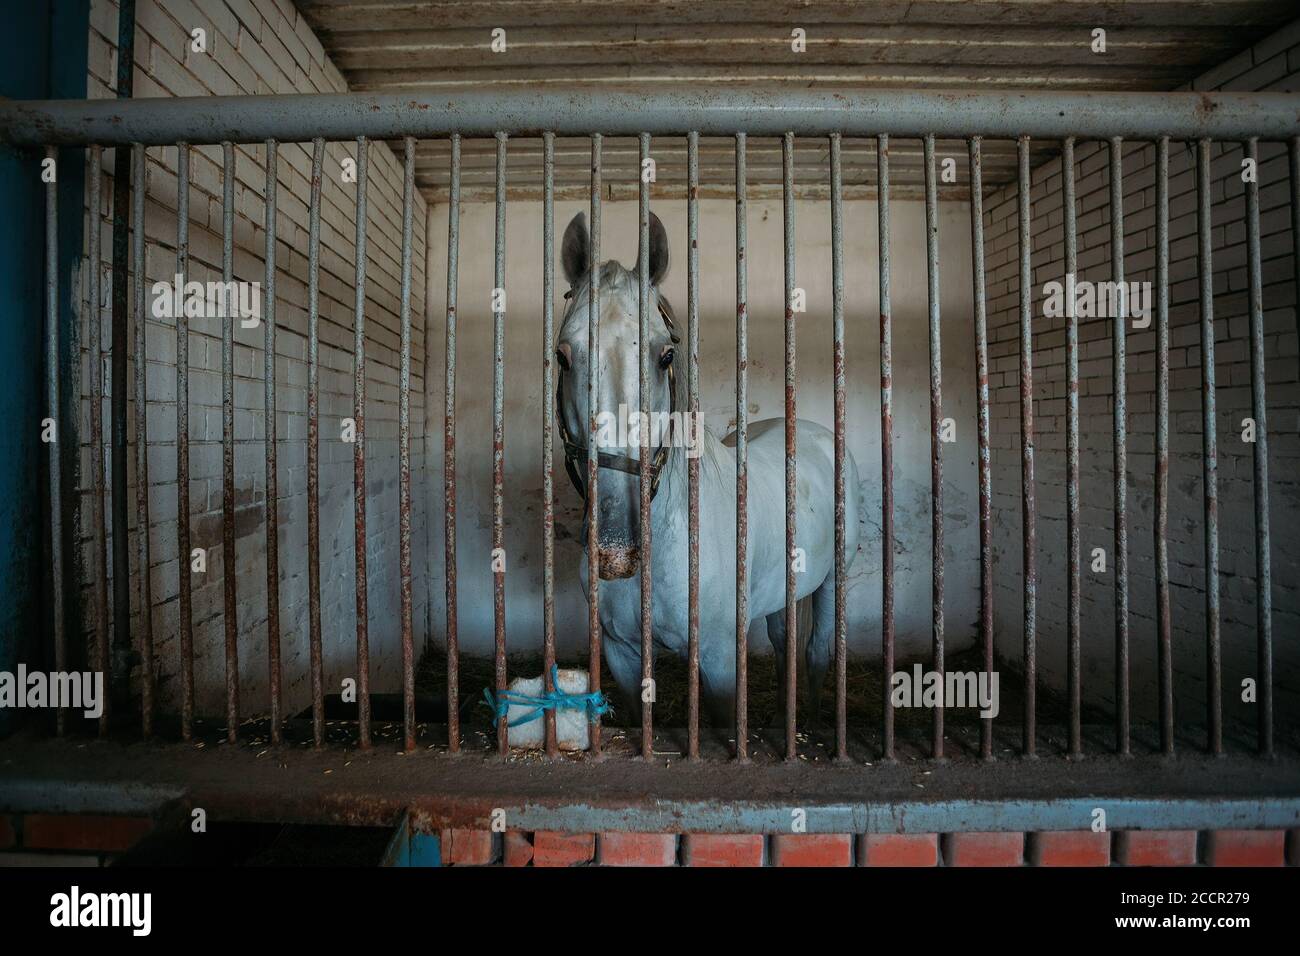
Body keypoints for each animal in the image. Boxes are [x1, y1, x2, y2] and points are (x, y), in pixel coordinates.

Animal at [554, 211, 861, 728]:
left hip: (834, 580)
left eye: (665, 355)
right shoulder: (621, 654)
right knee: (784, 643)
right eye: (562, 355)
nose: (616, 550)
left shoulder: (718, 660)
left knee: (818, 653)